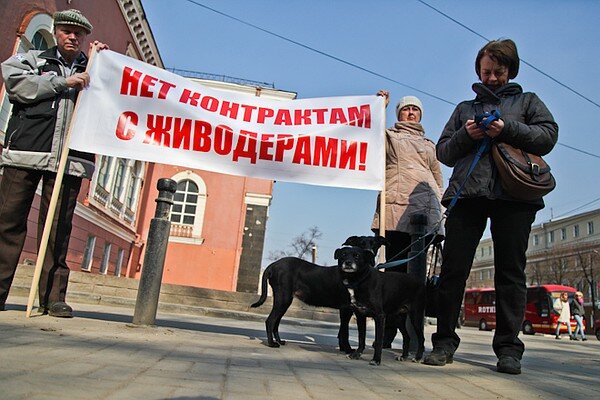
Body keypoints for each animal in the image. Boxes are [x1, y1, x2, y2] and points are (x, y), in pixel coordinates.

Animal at [250, 239, 384, 352]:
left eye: (357, 255)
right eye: (343, 255)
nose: (348, 263)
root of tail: (273, 265)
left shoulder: (346, 309)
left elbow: (342, 331)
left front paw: (343, 348)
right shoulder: (346, 308)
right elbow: (344, 332)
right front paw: (348, 349)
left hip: (284, 301)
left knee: (276, 323)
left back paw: (279, 341)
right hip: (283, 299)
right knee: (270, 321)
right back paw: (271, 343)